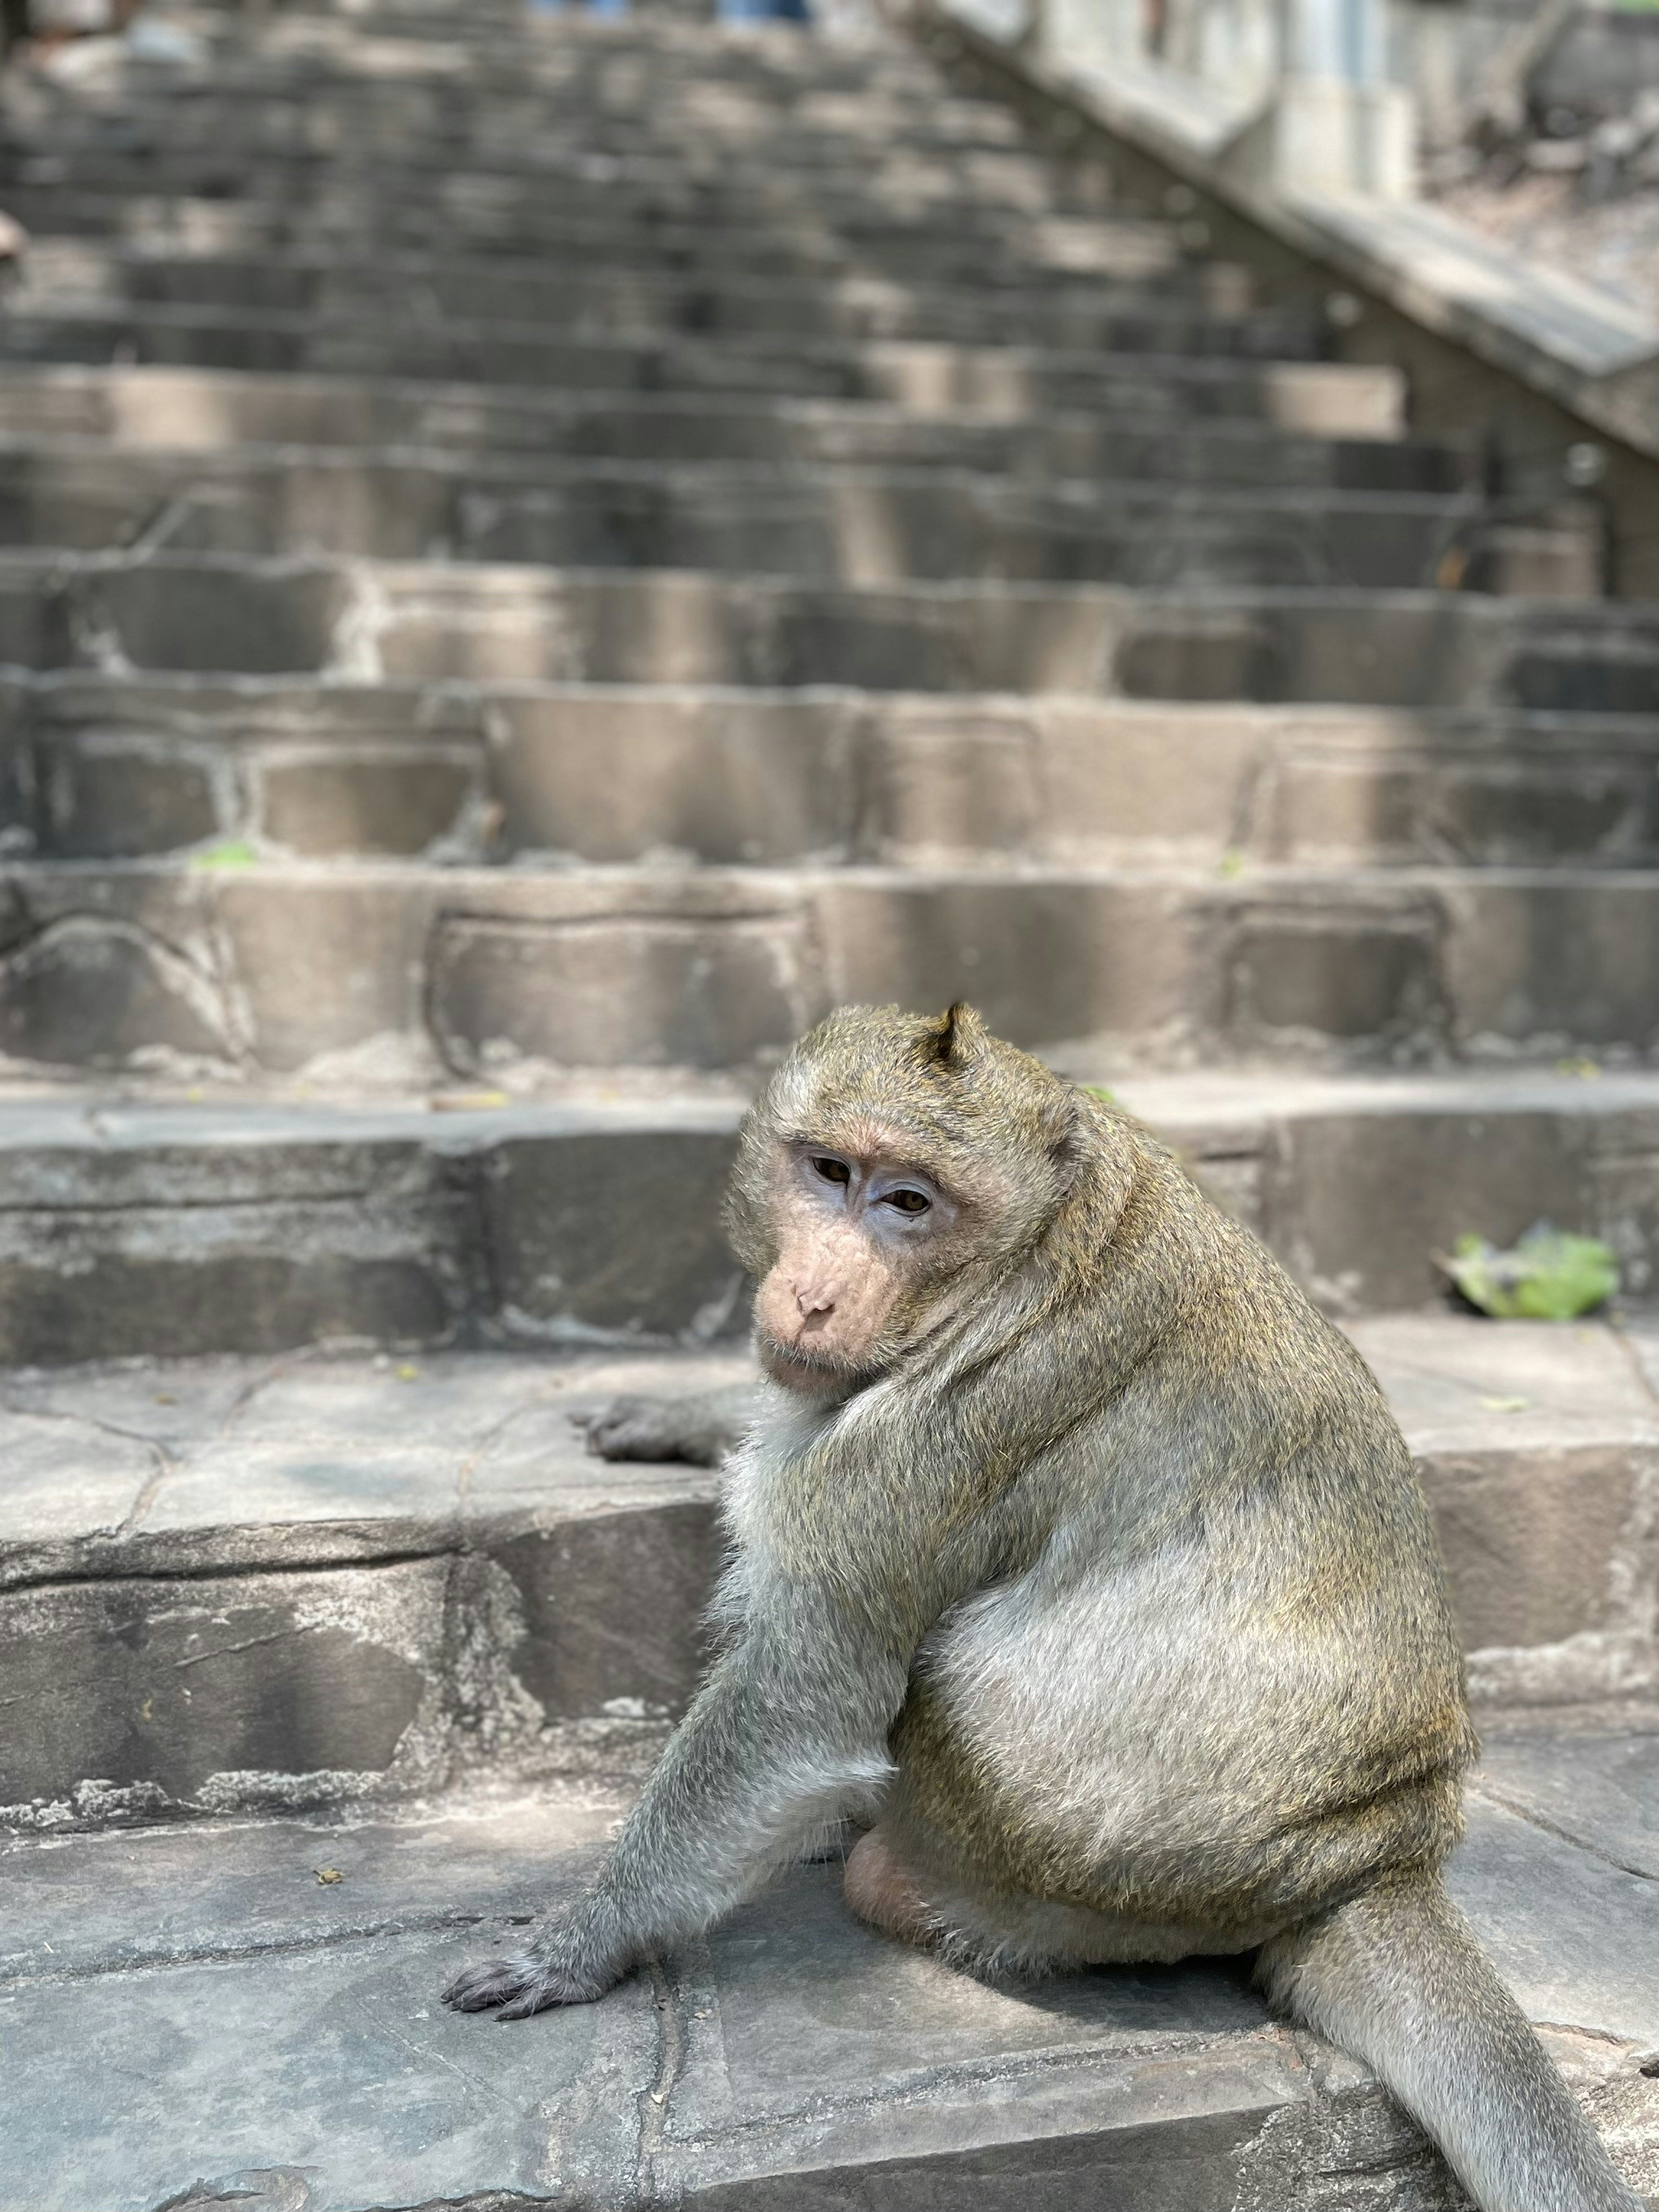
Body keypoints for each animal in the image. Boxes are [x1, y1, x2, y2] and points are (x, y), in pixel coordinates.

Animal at [445, 1001, 1638, 2212]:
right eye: (829, 1171)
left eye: (910, 1203)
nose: (814, 1294)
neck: (1026, 1250)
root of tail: (1380, 1847)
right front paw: (683, 1412)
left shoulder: (923, 1442)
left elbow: (801, 1707)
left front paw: (584, 1939)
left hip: (1052, 1871)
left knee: (946, 1687)